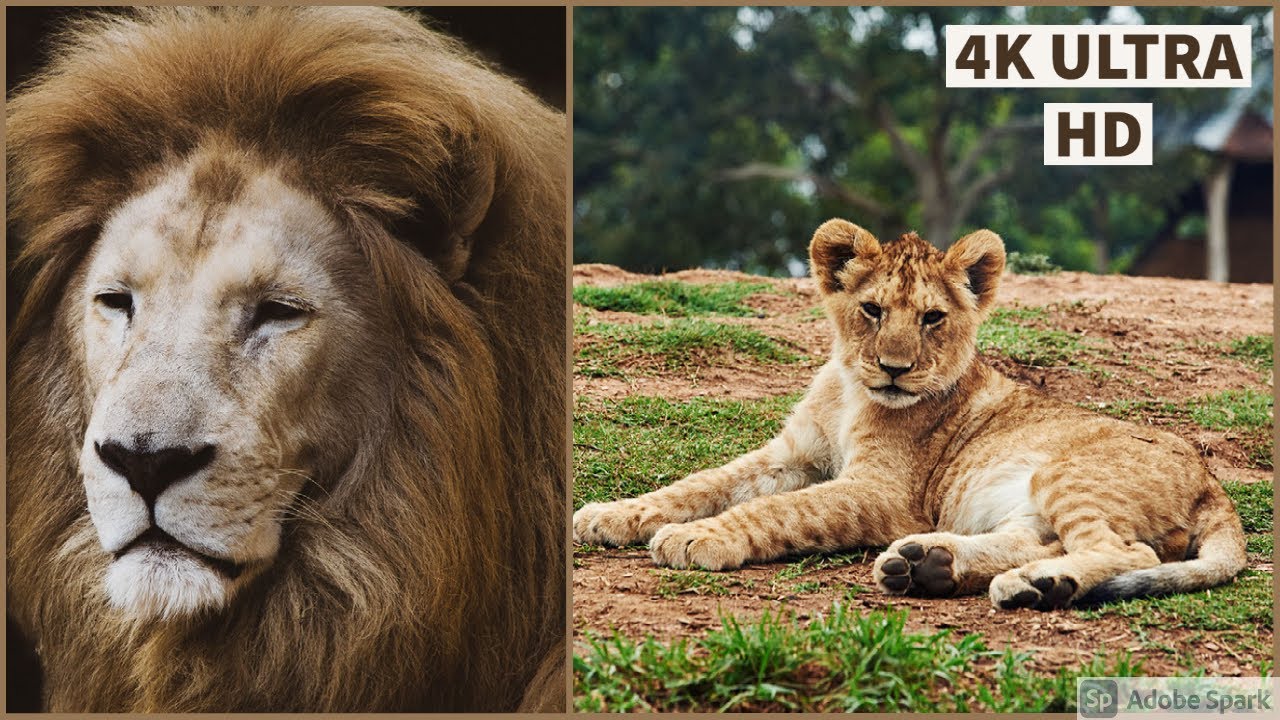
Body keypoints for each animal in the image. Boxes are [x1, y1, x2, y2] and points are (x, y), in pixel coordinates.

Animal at [574, 219, 1246, 610]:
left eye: (932, 318)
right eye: (872, 310)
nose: (894, 369)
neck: (850, 389)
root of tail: (1214, 485)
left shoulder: (883, 492)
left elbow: (778, 511)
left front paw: (697, 537)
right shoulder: (790, 455)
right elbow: (702, 483)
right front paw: (607, 516)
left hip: (1068, 473)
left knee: (1133, 554)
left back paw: (1024, 585)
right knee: (1033, 540)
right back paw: (939, 567)